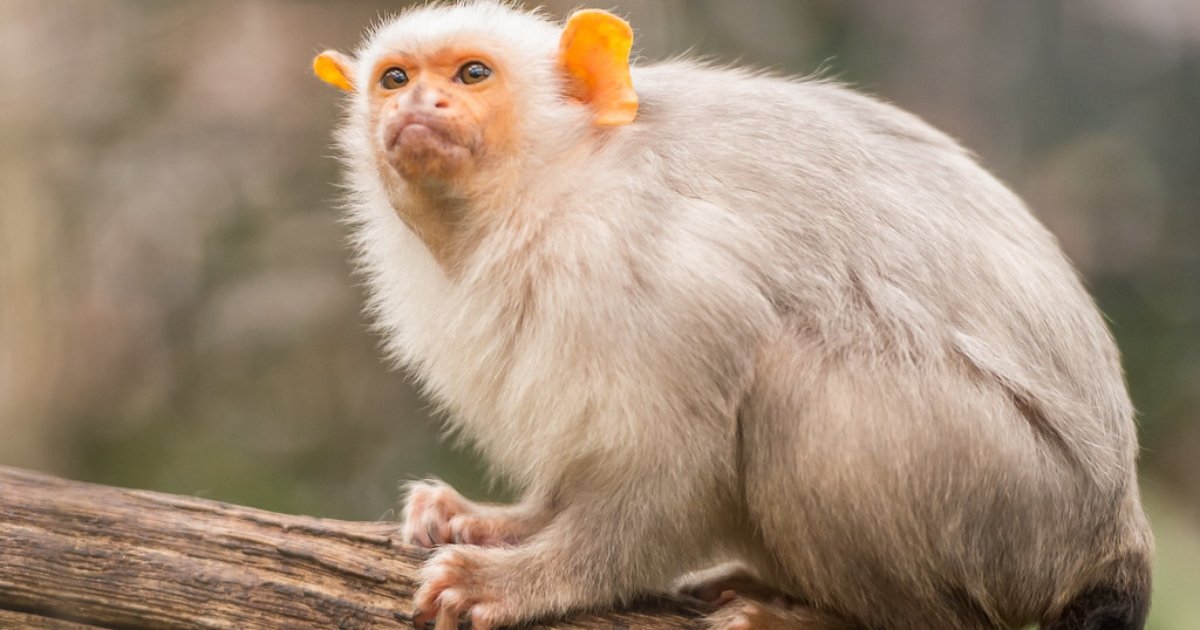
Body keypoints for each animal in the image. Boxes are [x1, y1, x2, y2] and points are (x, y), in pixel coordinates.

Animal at [313, 3, 1153, 629]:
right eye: (394, 79)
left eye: (472, 74)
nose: (418, 106)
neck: (550, 190)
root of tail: (1114, 533)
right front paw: (505, 520)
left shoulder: (668, 266)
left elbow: (675, 469)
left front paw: (527, 579)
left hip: (1008, 510)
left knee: (793, 380)